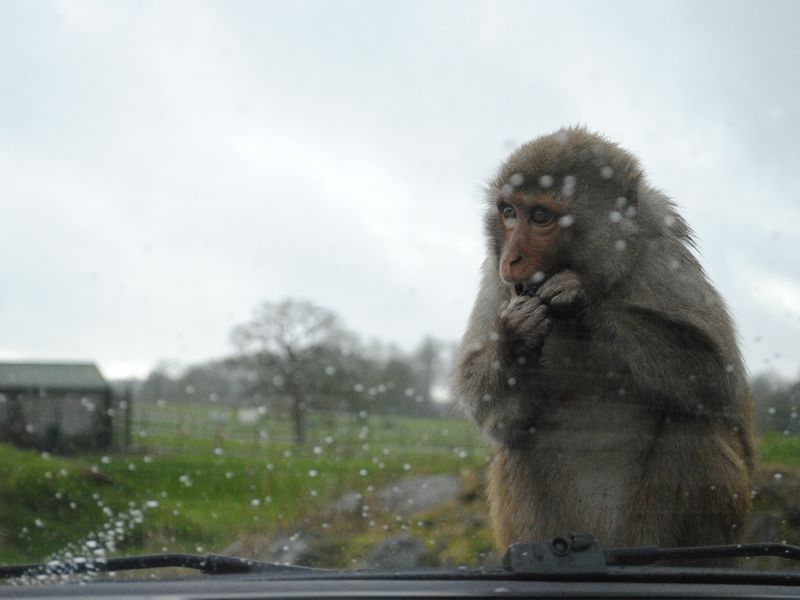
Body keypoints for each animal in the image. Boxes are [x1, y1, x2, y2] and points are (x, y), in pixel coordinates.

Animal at [454, 127, 754, 551]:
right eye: (509, 212)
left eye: (541, 216)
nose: (510, 258)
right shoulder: (497, 281)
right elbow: (482, 398)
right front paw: (515, 337)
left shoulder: (663, 253)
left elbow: (717, 374)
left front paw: (580, 300)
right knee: (516, 438)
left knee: (694, 426)